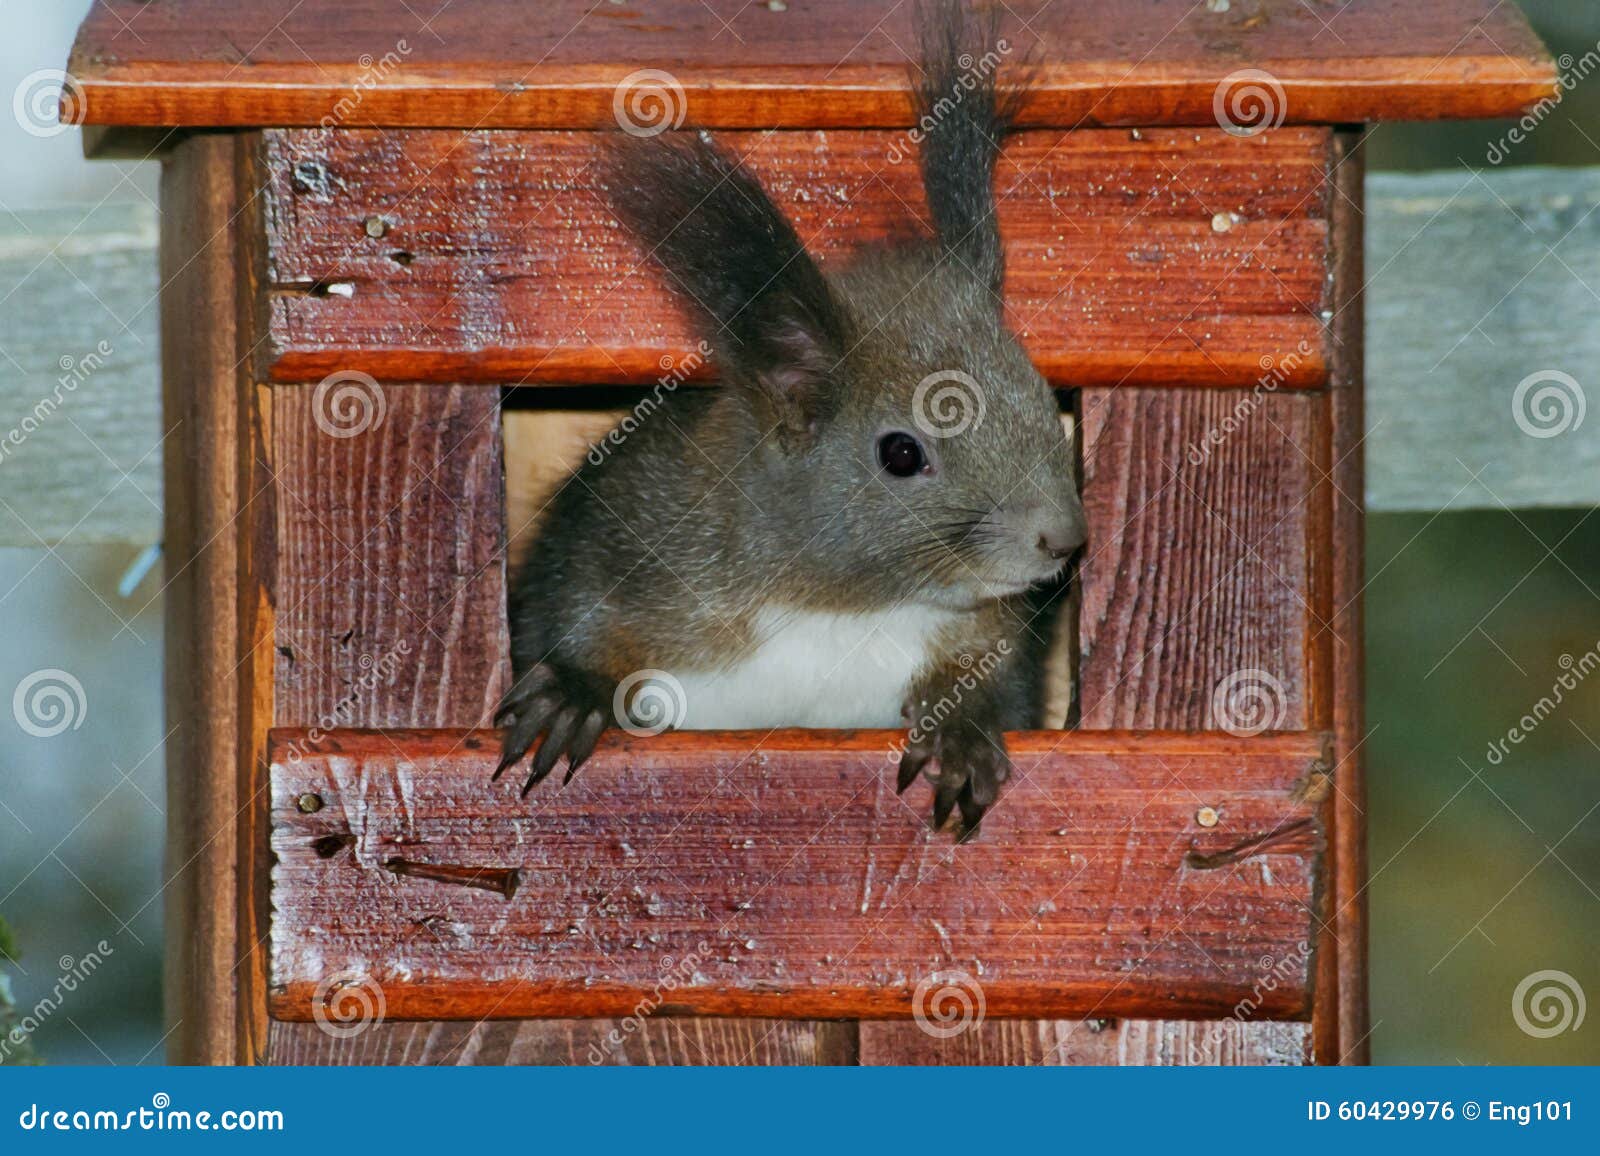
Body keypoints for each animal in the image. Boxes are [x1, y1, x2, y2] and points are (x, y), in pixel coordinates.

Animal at [495, 0, 1086, 840]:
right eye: (901, 454)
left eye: (1048, 402)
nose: (1064, 538)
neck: (837, 606)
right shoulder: (632, 537)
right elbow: (572, 615)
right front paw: (574, 690)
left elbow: (996, 688)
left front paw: (964, 735)